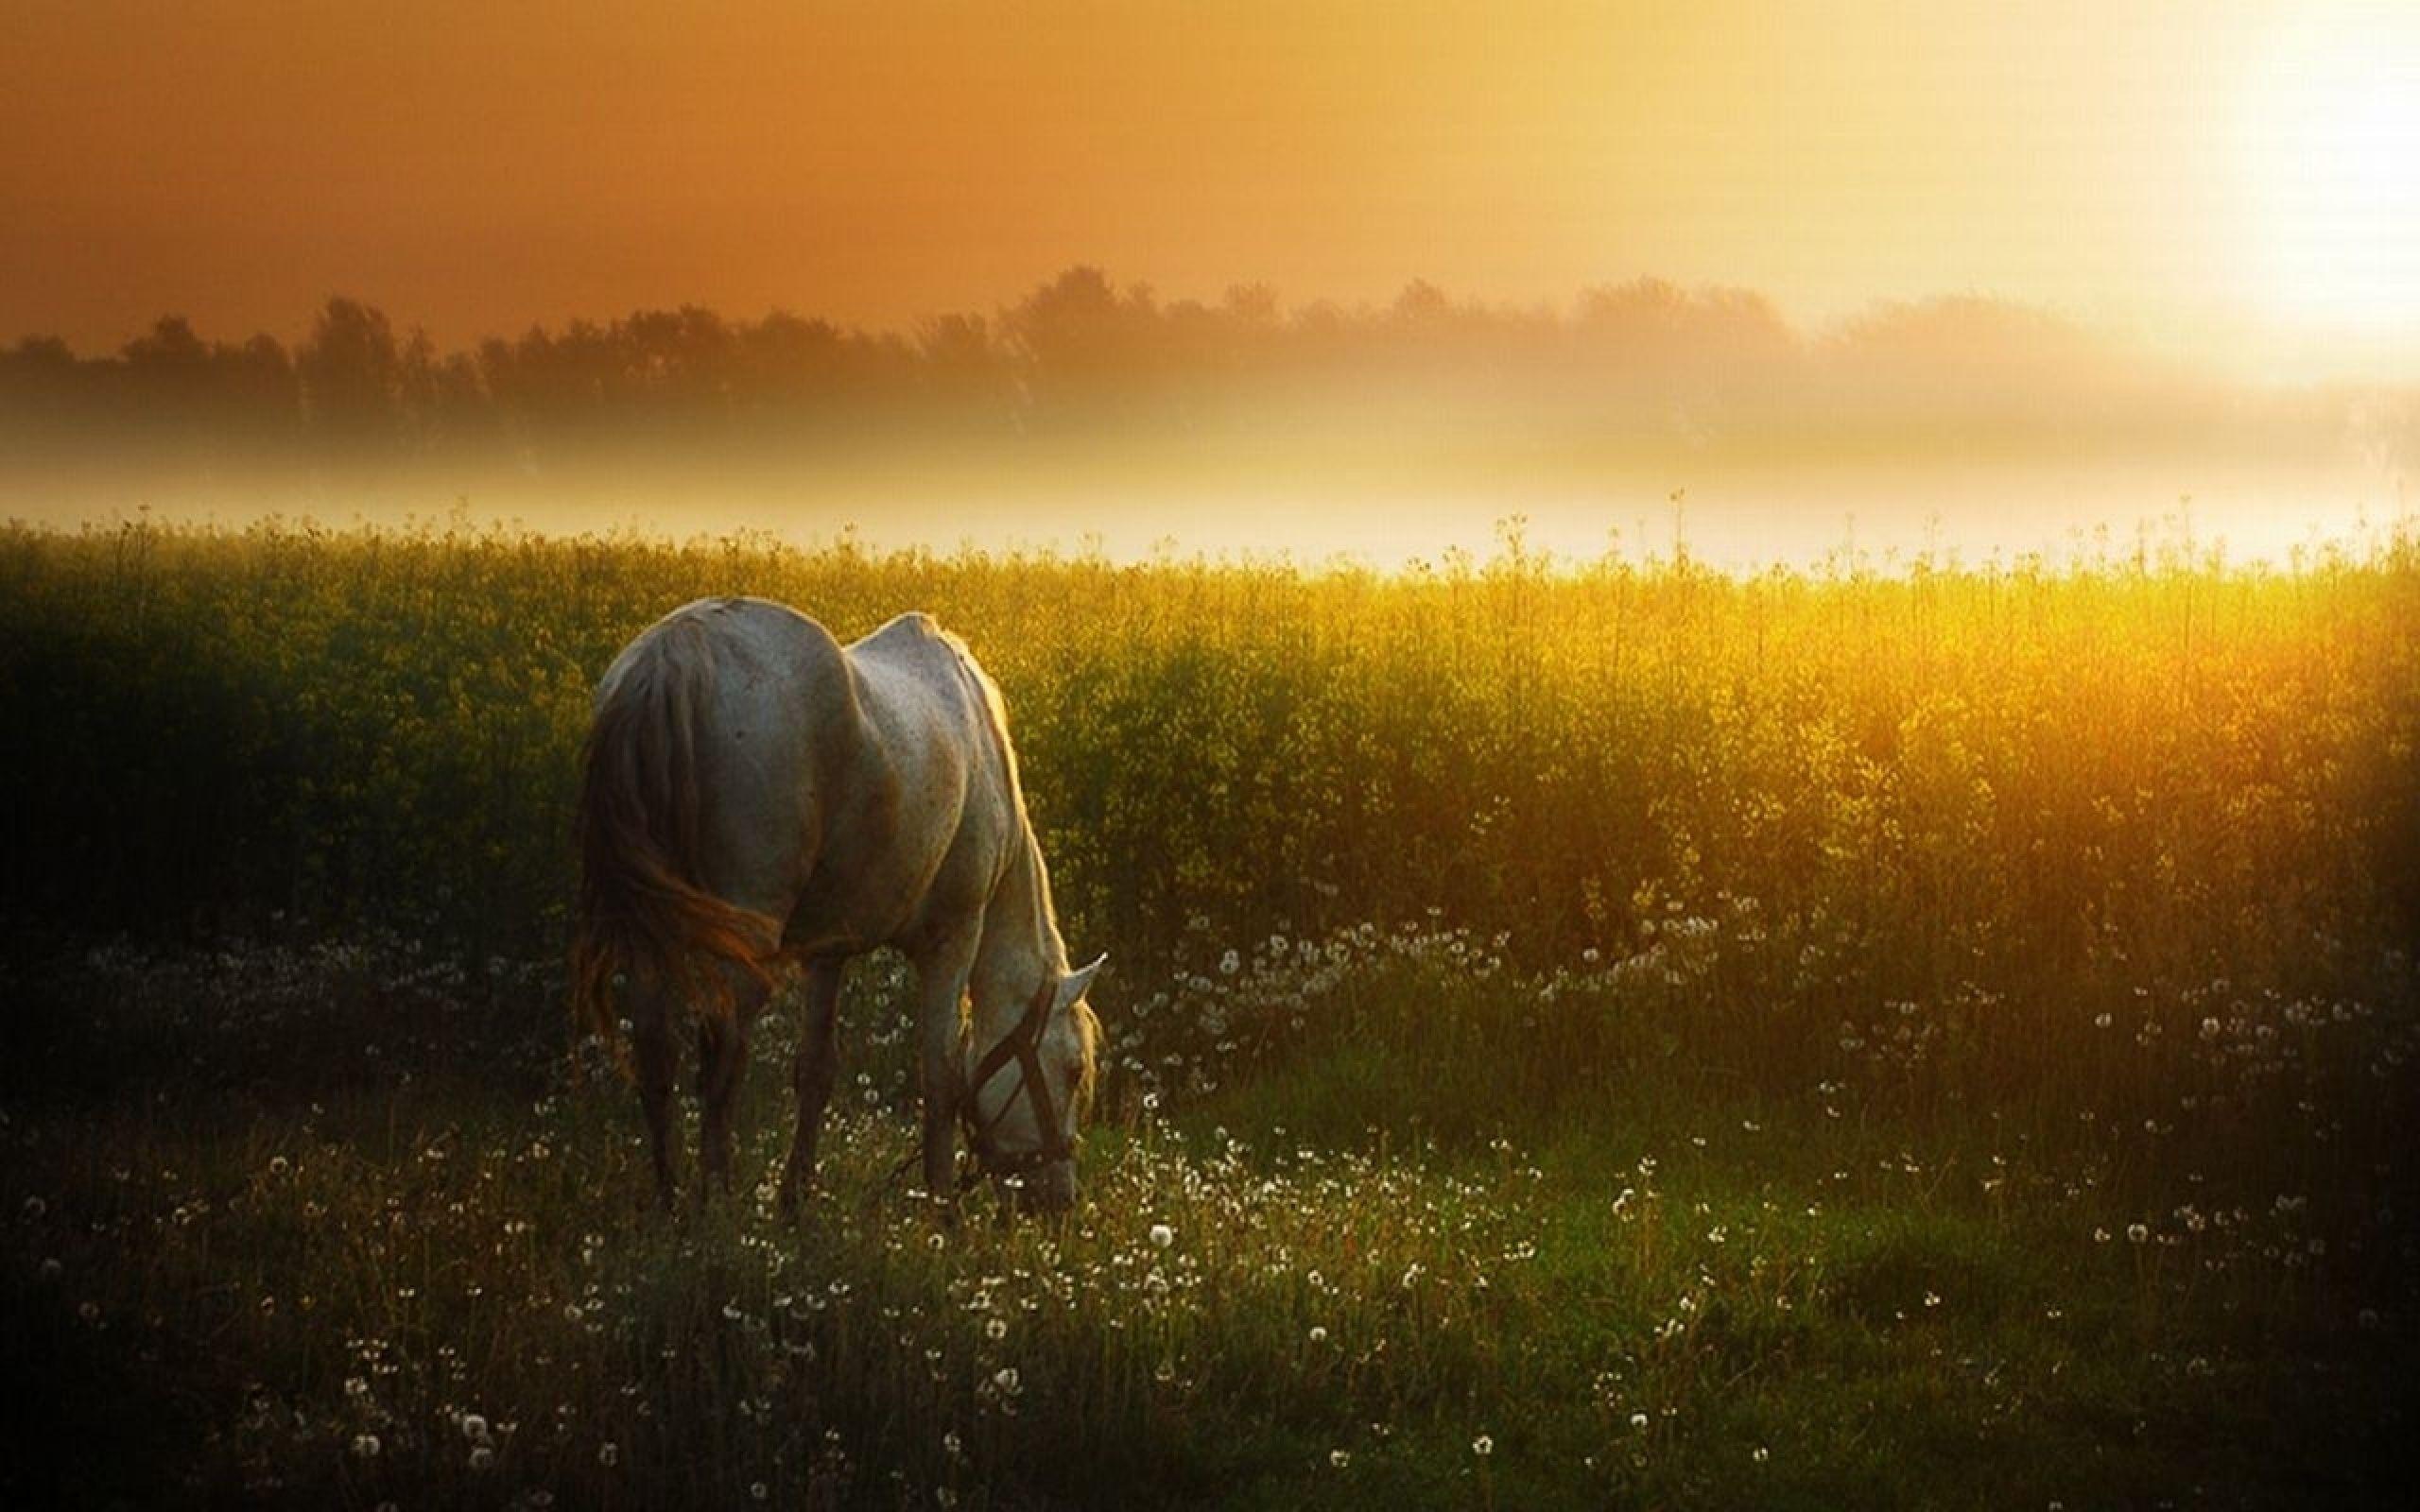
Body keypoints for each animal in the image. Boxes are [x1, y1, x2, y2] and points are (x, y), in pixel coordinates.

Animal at [568, 597, 1103, 1213]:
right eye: (1072, 1070)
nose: (1059, 1200)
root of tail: (673, 652)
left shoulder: (827, 952)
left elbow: (816, 1072)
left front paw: (795, 1199)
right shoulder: (954, 939)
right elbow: (941, 1077)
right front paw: (942, 1211)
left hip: (653, 939)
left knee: (657, 1053)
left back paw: (672, 1201)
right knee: (721, 1062)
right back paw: (717, 1205)